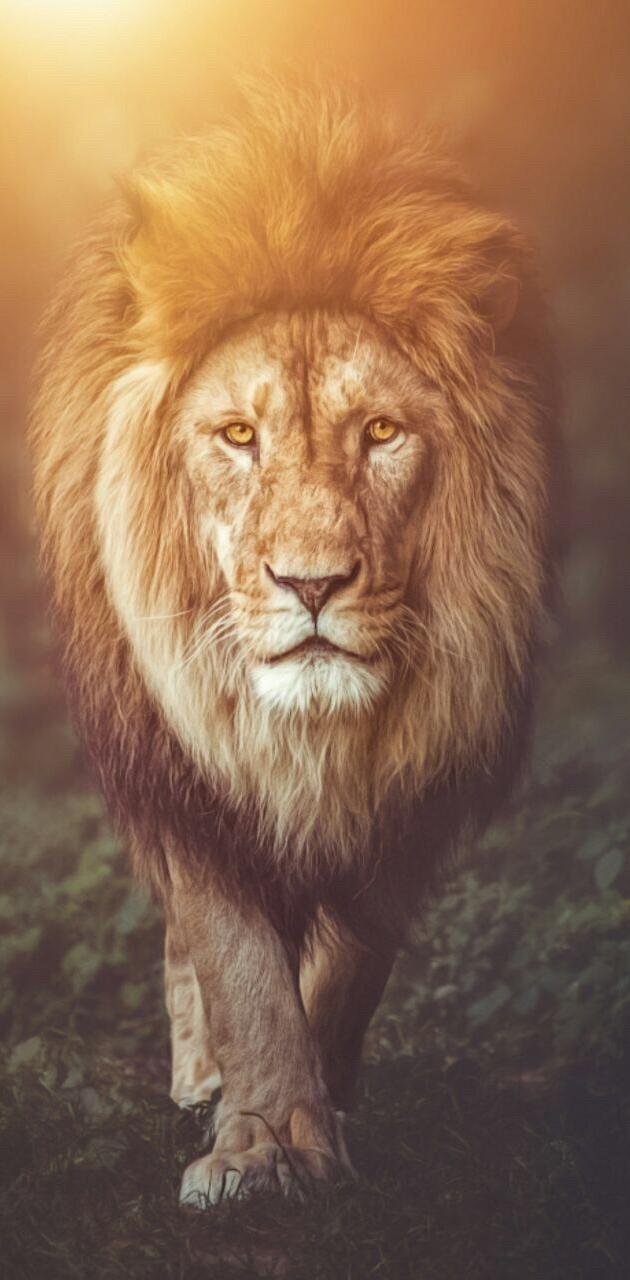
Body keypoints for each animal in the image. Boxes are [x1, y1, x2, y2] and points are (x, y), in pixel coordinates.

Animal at [30, 79, 558, 1205]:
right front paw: (257, 1138)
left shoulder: (422, 775)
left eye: (383, 433)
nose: (311, 585)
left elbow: (350, 965)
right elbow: (237, 961)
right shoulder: (184, 765)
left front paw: (319, 1116)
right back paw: (199, 1078)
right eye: (238, 436)